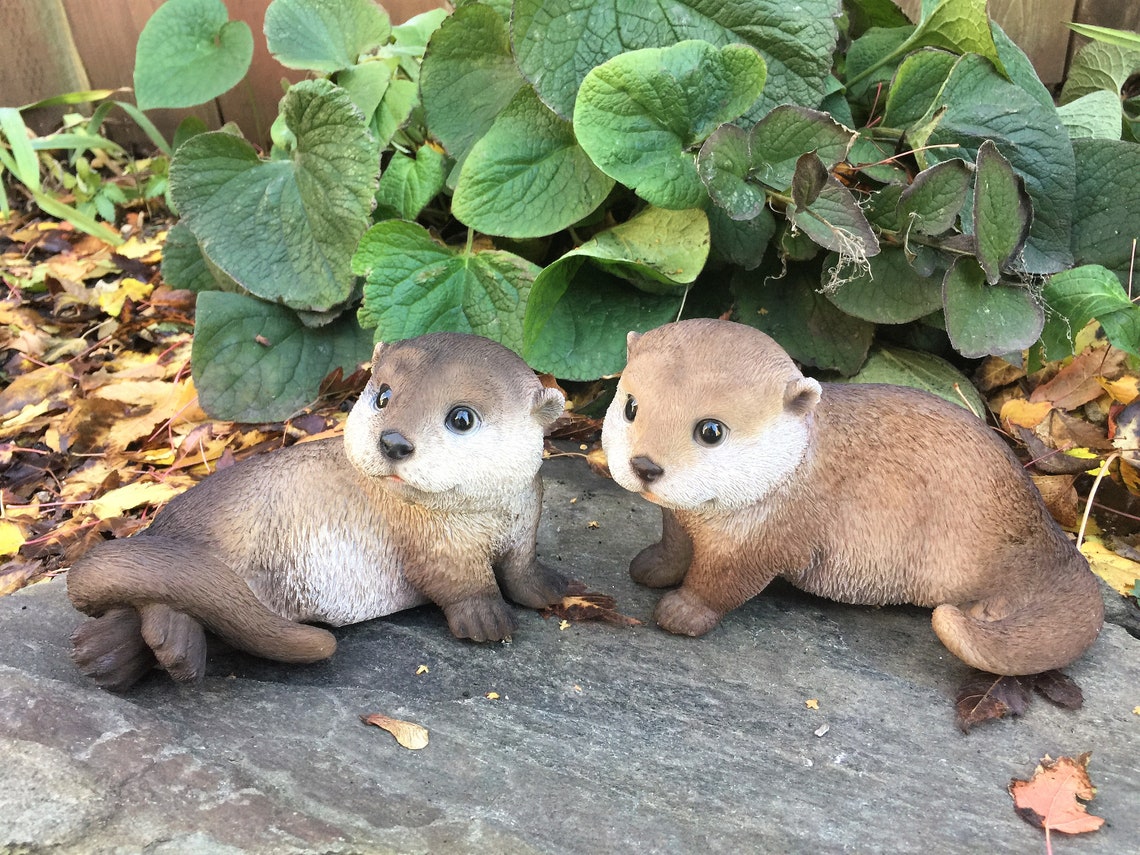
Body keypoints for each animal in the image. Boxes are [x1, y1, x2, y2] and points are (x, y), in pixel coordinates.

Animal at [68, 332, 568, 691]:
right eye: (383, 396)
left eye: (461, 418)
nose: (393, 442)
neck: (490, 515)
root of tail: (165, 524)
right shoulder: (436, 546)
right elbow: (462, 584)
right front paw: (486, 619)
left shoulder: (526, 521)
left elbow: (522, 569)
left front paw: (553, 589)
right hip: (216, 544)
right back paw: (165, 654)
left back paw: (104, 660)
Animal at [601, 318, 1103, 677]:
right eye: (630, 407)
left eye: (710, 431)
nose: (645, 466)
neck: (791, 468)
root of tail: (1048, 540)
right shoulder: (679, 520)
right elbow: (672, 547)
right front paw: (650, 568)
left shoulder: (763, 543)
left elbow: (720, 584)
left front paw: (683, 612)